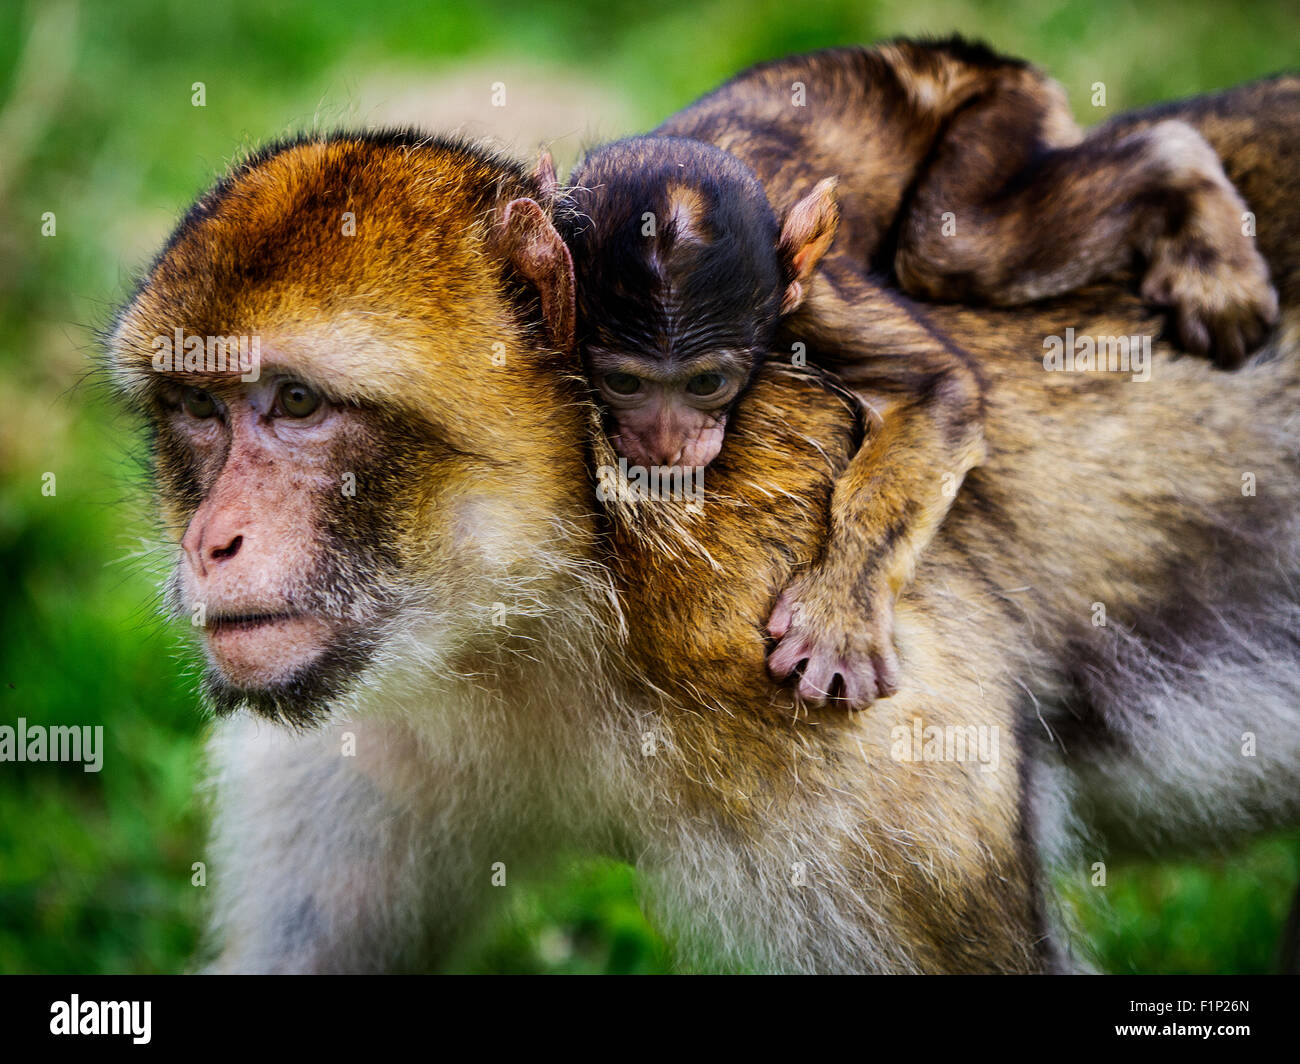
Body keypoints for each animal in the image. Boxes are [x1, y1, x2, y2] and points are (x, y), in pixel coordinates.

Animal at [560, 37, 1279, 711]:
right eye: (625, 384)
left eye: (706, 384)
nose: (665, 445)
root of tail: (945, 51)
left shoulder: (813, 306)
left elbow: (936, 390)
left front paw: (840, 615)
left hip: (1004, 108)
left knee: (954, 246)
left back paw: (1189, 194)